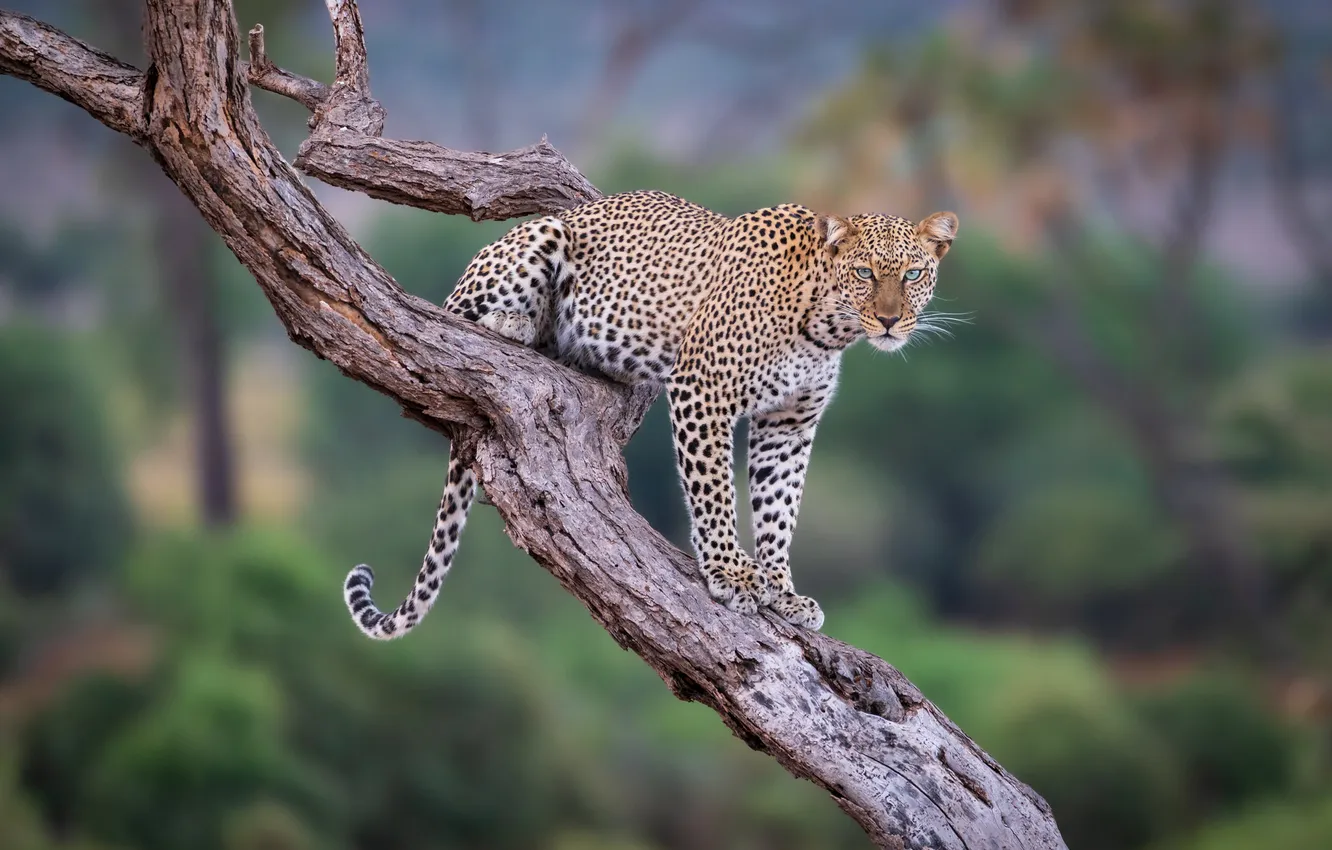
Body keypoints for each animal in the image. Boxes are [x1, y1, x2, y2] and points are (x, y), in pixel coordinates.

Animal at [343, 189, 957, 638]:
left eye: (912, 275)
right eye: (864, 273)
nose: (889, 320)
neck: (825, 325)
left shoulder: (789, 423)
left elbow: (779, 509)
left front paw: (782, 590)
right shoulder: (703, 390)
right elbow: (714, 491)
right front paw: (731, 574)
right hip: (540, 237)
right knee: (462, 315)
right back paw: (512, 323)